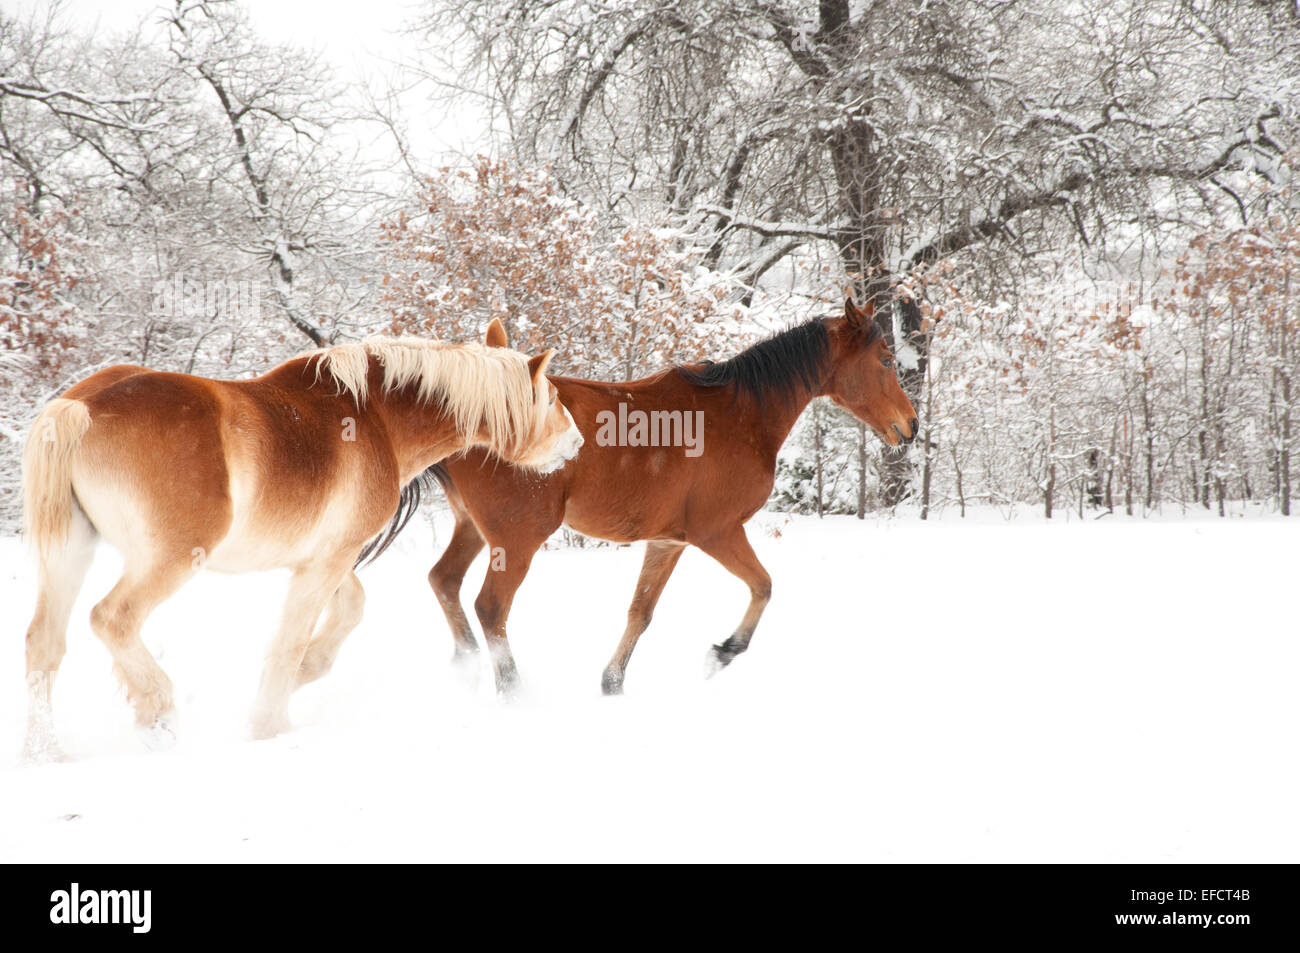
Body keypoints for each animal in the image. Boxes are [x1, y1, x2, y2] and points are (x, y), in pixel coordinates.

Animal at [21, 334, 583, 758]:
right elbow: (288, 641)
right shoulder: (329, 560)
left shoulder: (324, 557)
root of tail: (79, 407)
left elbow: (348, 611)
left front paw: (300, 679)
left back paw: (48, 754)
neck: (376, 418)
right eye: (553, 396)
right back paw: (156, 712)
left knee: (44, 642)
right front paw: (270, 727)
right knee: (112, 619)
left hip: (69, 552)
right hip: (171, 559)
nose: (577, 442)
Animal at [401, 298, 916, 696]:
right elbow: (763, 586)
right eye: (886, 360)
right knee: (490, 607)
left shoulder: (667, 542)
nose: (910, 425)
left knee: (444, 581)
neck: (742, 414)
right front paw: (721, 654)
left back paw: (466, 669)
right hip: (518, 537)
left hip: (473, 526)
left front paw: (612, 682)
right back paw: (511, 689)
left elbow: (641, 612)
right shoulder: (718, 532)